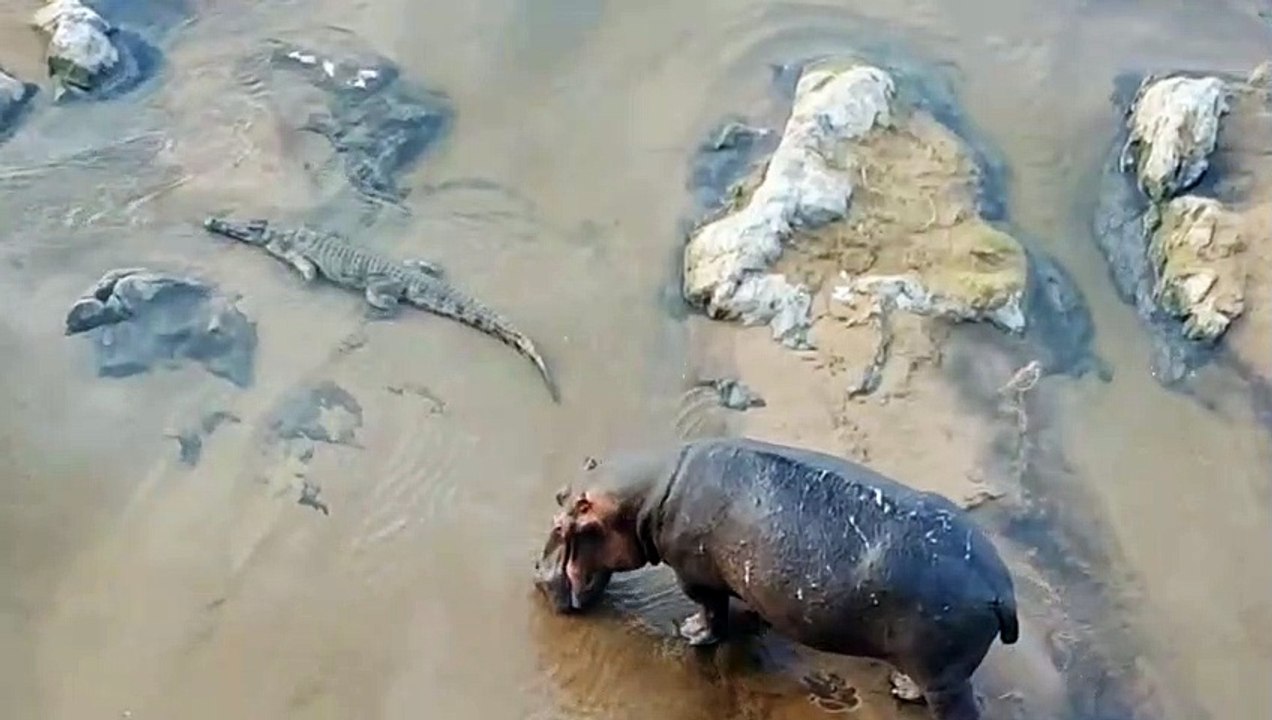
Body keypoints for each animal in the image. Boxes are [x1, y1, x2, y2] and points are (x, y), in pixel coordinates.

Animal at [532, 437, 1019, 720]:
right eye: (558, 494)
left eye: (564, 523)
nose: (537, 574)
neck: (649, 494)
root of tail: (1000, 588)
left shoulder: (695, 576)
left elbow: (710, 611)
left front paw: (689, 632)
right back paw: (900, 686)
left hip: (946, 676)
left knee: (958, 708)